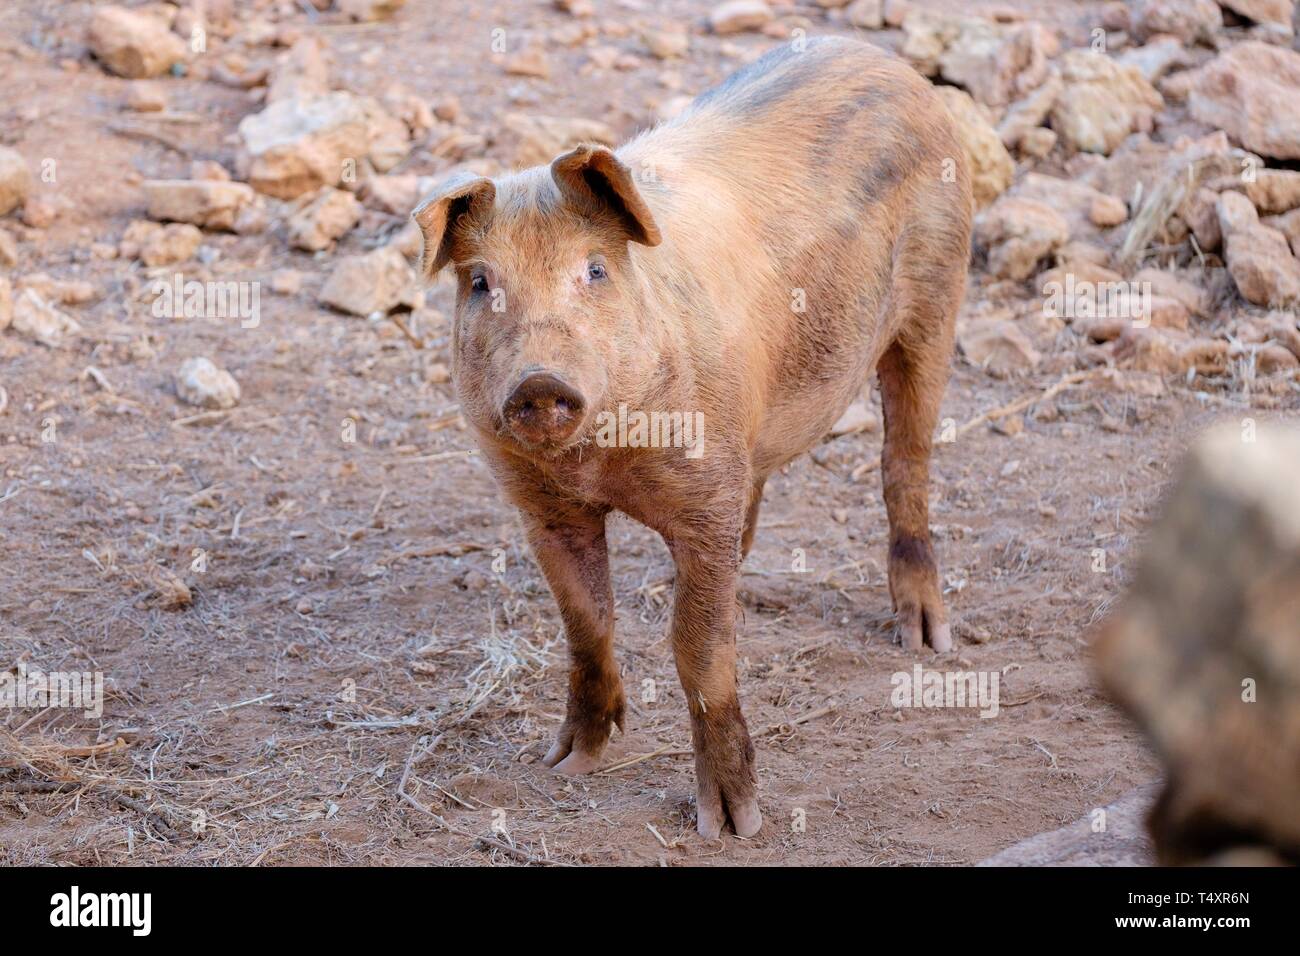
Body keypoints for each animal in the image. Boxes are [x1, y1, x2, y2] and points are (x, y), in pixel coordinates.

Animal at [413, 36, 972, 839]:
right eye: (482, 282)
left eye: (595, 270)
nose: (539, 380)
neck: (600, 461)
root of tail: (886, 61)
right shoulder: (539, 503)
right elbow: (585, 619)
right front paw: (566, 764)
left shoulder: (702, 494)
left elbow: (699, 646)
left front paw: (732, 825)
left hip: (938, 293)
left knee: (906, 461)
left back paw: (925, 639)